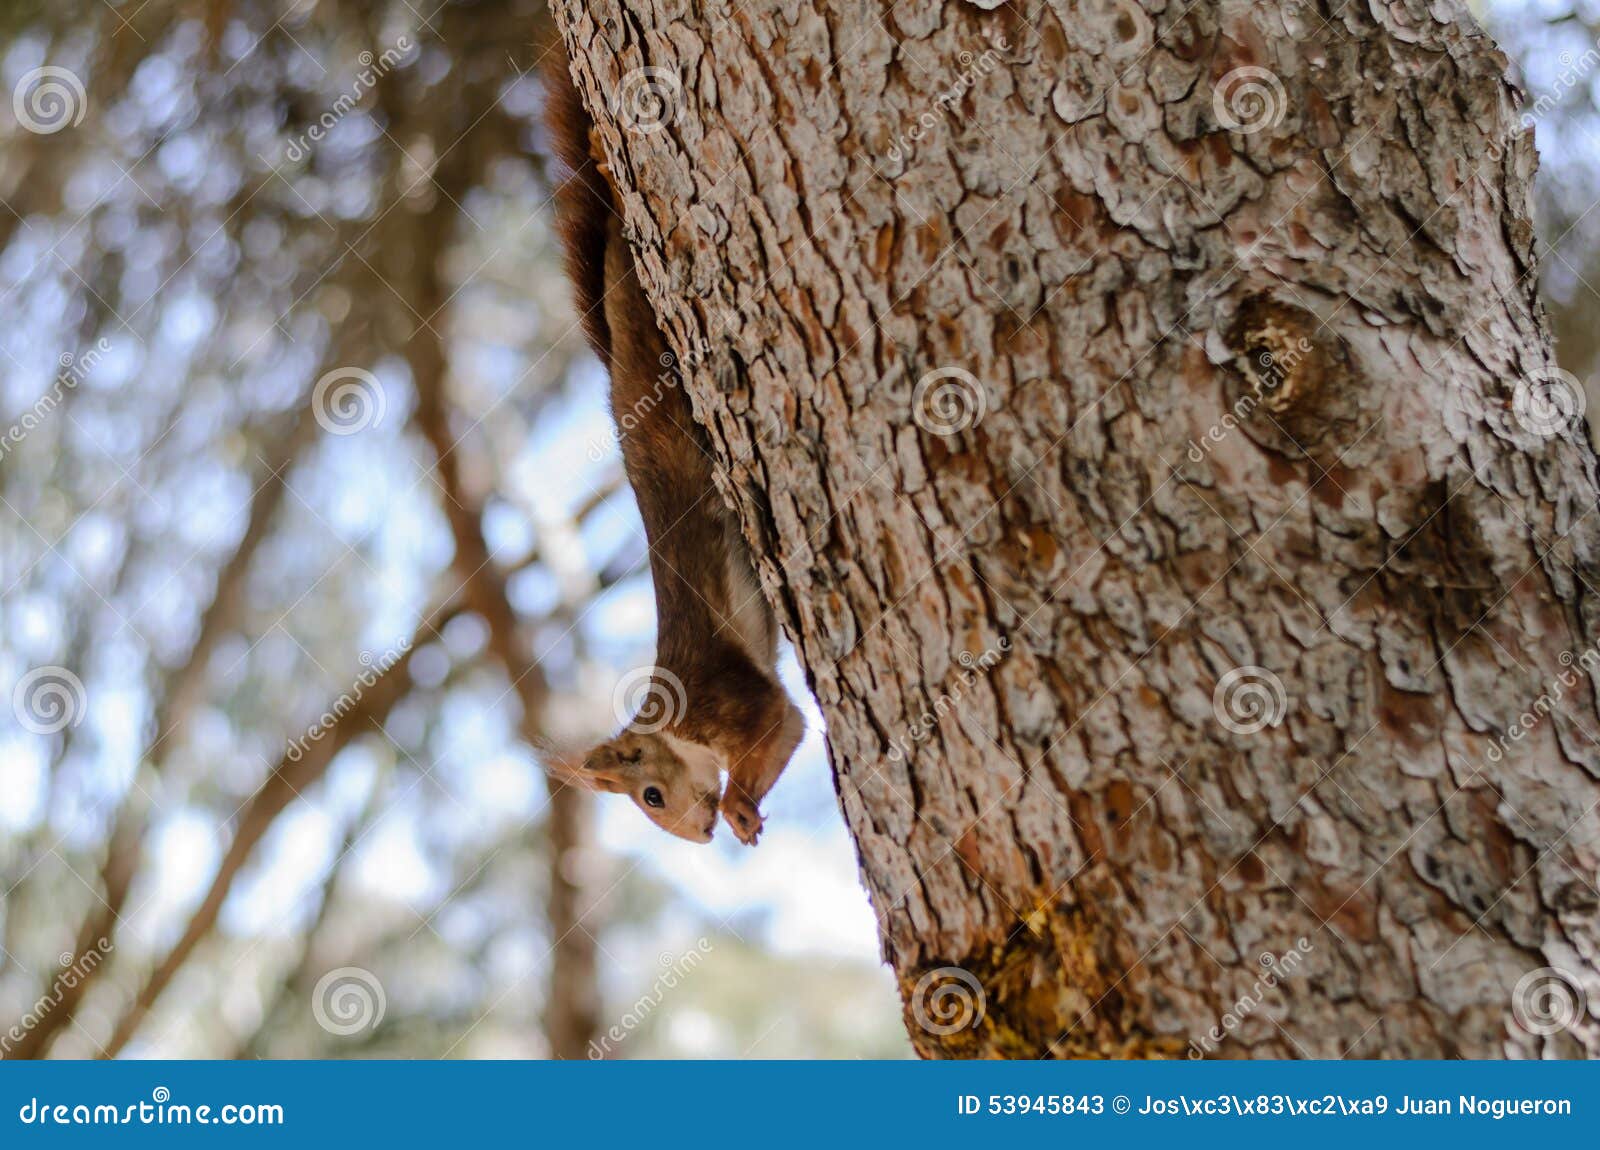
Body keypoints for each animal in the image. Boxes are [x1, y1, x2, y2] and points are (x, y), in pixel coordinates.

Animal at [545, 45, 804, 846]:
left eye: (650, 796)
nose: (701, 836)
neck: (675, 725)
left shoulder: (724, 699)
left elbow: (780, 723)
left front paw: (741, 805)